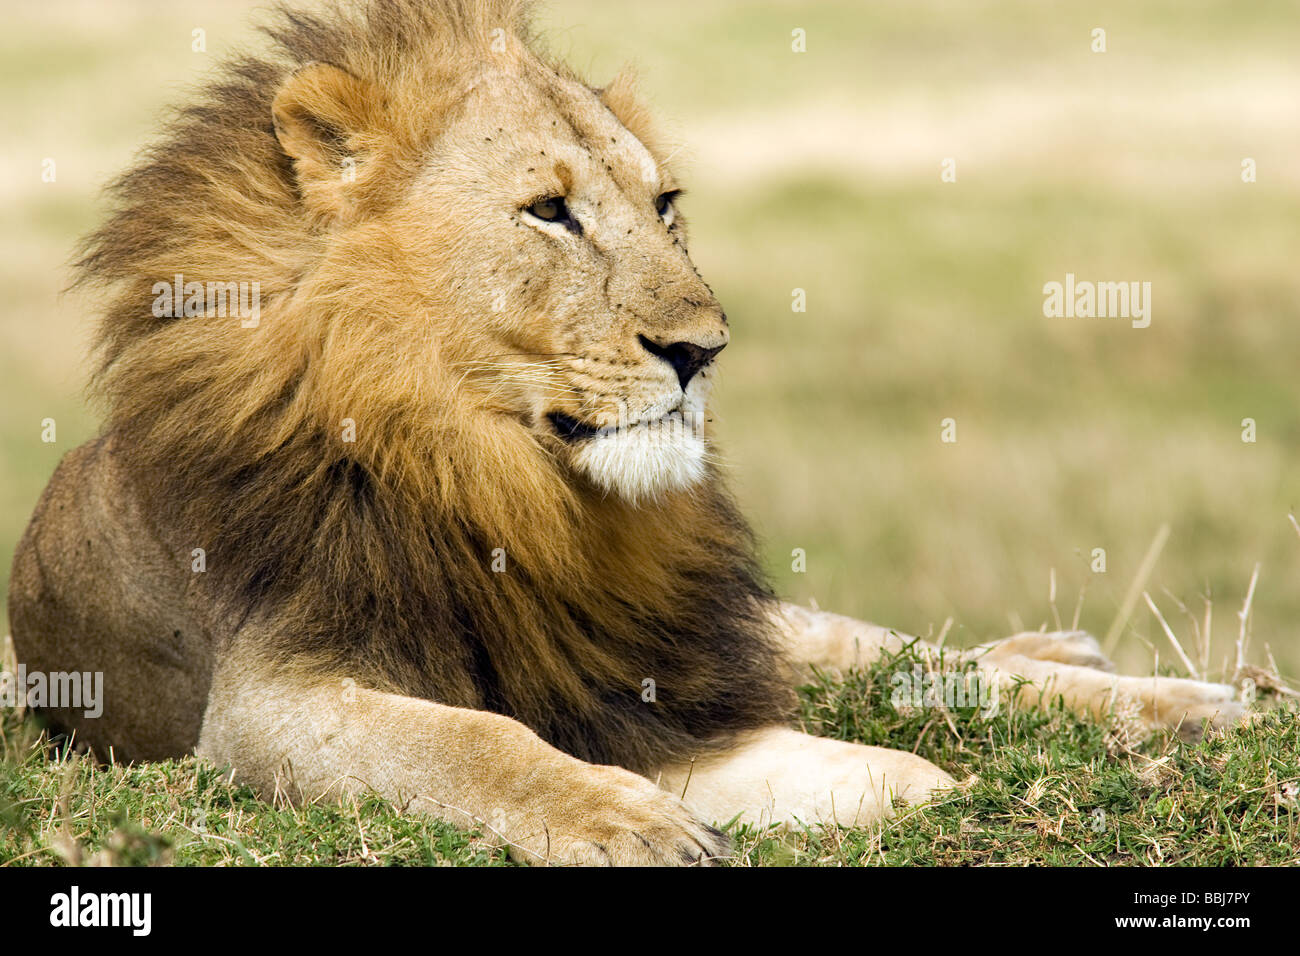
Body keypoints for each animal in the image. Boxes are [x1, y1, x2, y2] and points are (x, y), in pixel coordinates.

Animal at [7, 0, 1244, 865]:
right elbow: (475, 742)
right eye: (549, 210)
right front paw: (633, 819)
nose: (704, 349)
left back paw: (1167, 694)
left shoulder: (637, 662)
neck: (502, 483)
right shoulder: (270, 701)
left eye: (664, 206)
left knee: (895, 649)